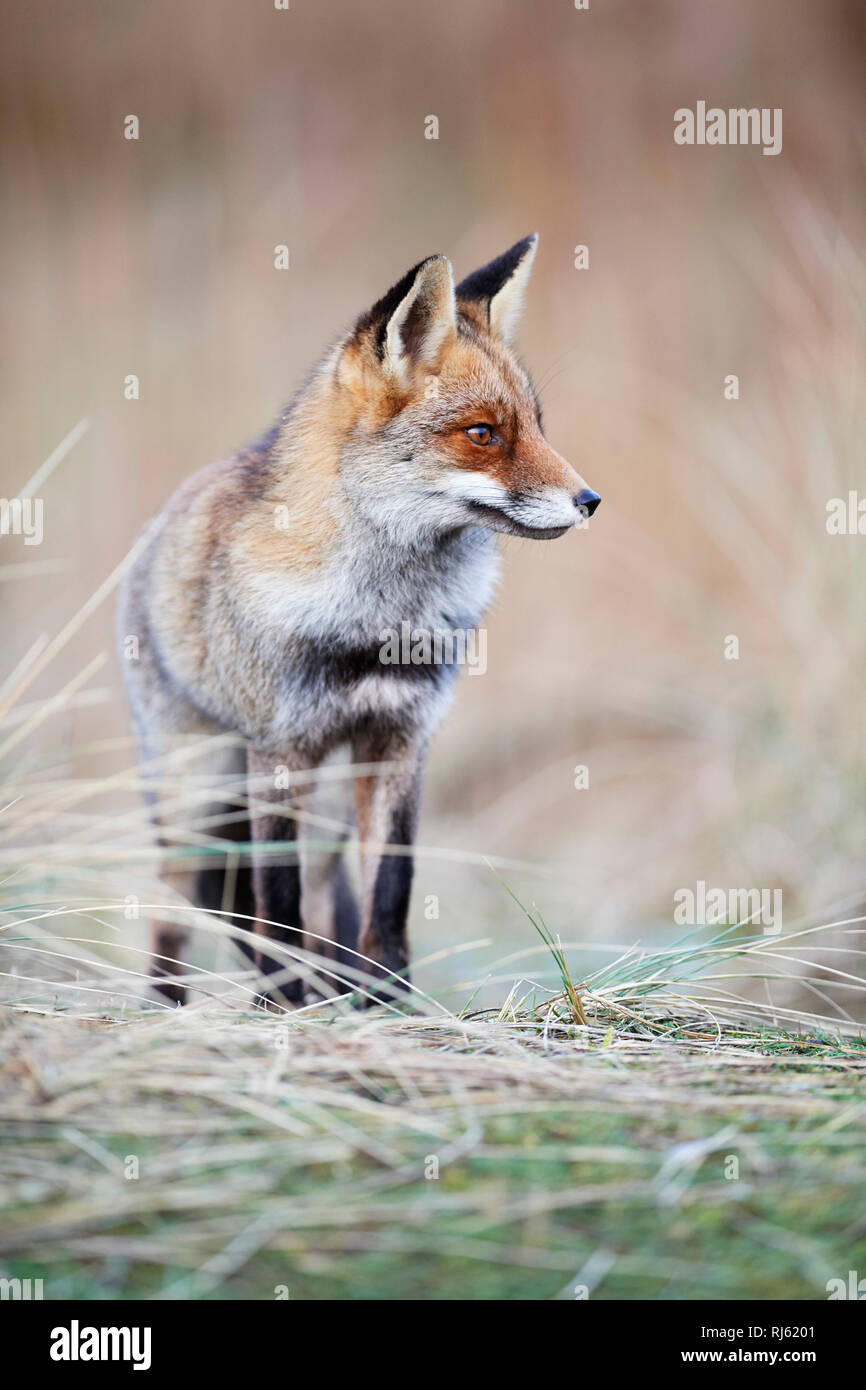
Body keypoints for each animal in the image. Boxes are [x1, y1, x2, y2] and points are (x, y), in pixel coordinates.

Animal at [118, 234, 601, 1006]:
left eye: (535, 426)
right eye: (482, 434)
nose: (590, 501)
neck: (379, 620)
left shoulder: (399, 741)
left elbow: (389, 896)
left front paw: (390, 1004)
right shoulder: (280, 751)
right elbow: (274, 903)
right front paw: (281, 1009)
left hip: (327, 814)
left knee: (318, 906)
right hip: (195, 793)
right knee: (177, 909)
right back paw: (171, 1007)